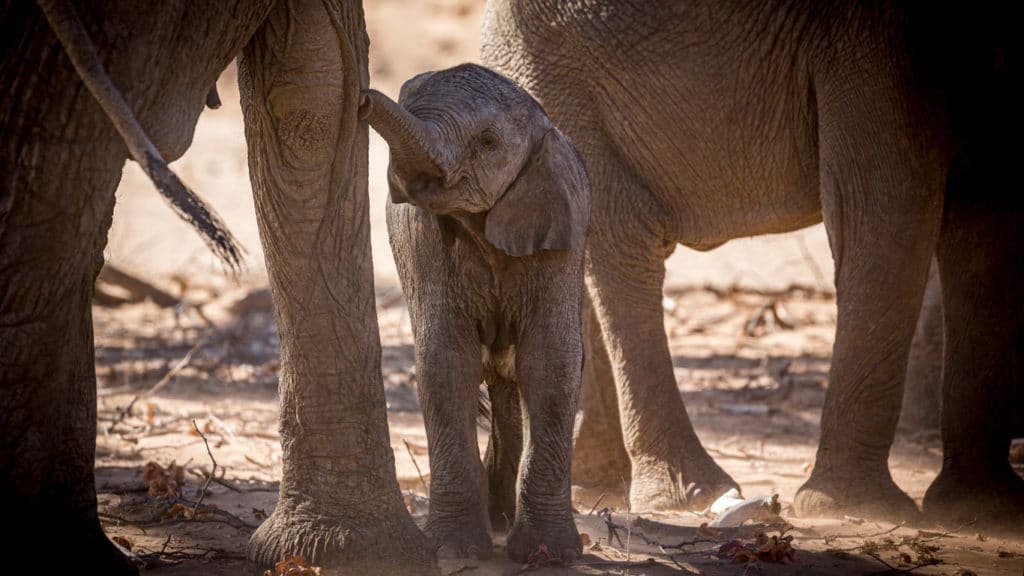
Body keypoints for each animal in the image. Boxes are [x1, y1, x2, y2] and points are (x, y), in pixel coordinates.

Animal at [359, 63, 591, 562]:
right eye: (406, 98)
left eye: (488, 142)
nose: (363, 96)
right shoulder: (424, 241)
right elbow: (446, 360)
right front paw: (455, 550)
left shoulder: (564, 229)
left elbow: (551, 361)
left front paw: (549, 555)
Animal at [482, 0, 1023, 527]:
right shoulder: (875, 39)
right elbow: (884, 205)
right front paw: (860, 508)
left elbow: (987, 223)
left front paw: (985, 508)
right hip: (562, 75)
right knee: (623, 244)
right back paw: (696, 496)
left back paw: (599, 485)